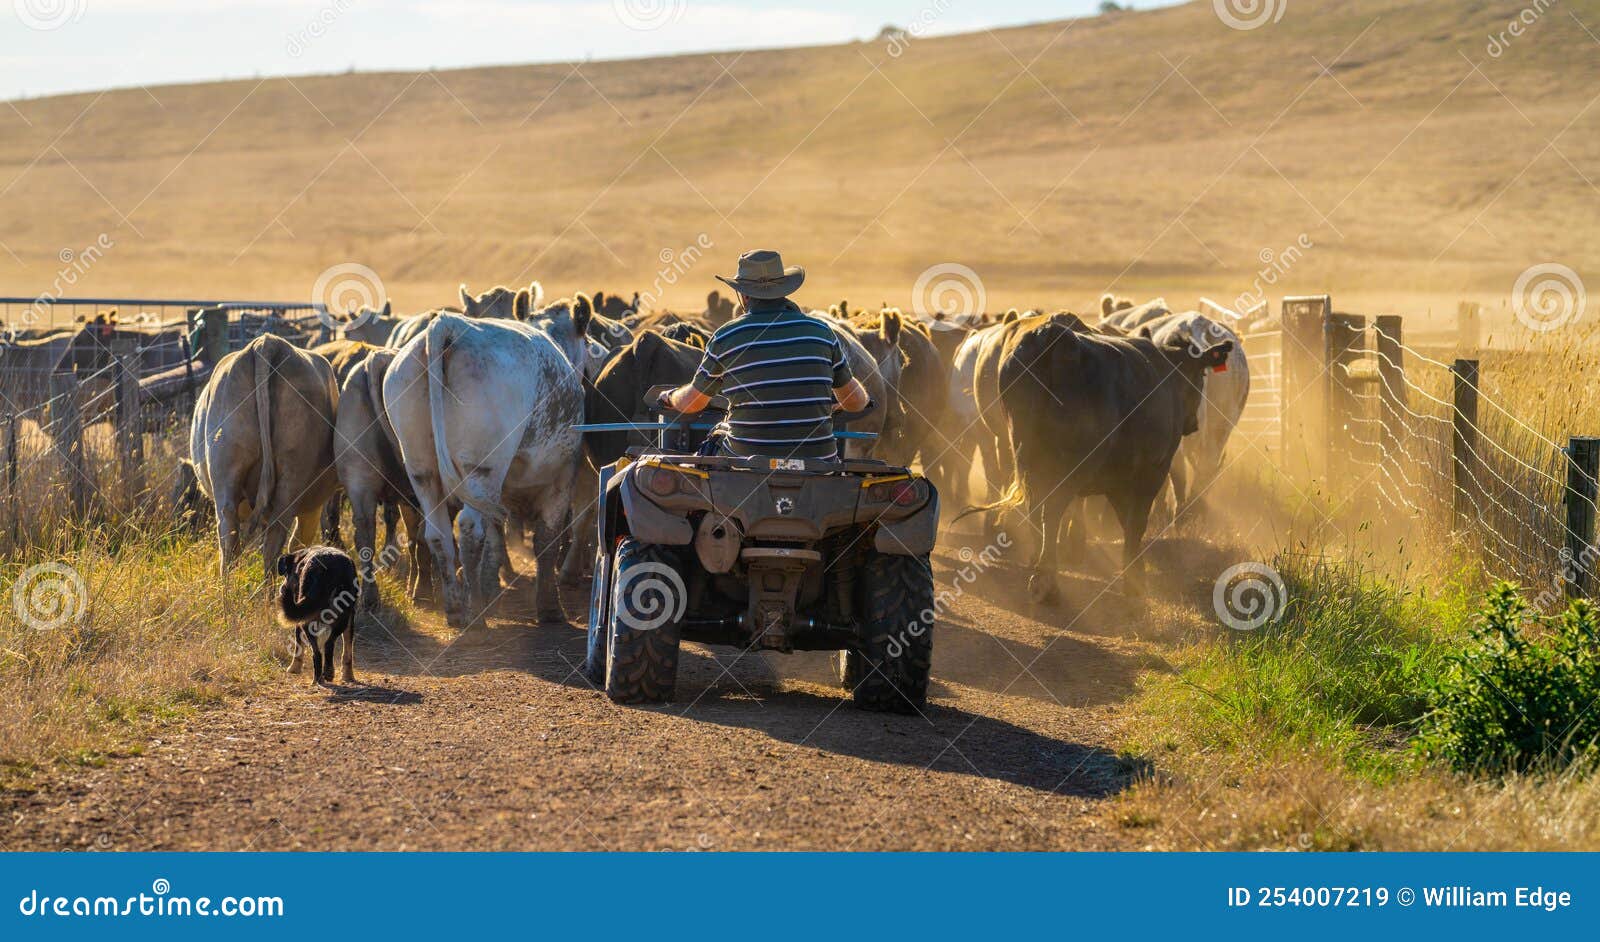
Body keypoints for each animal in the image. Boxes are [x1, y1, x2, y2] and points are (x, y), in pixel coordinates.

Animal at [187, 333, 340, 583]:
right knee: (262, 538)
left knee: (234, 538)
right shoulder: (311, 506)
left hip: (232, 475)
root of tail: (268, 343)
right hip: (284, 475)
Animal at [383, 296, 594, 629]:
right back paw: (476, 617)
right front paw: (550, 608)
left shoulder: (500, 490)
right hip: (481, 470)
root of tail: (449, 326)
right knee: (469, 530)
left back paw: (457, 609)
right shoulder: (561, 477)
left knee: (438, 534)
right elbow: (547, 539)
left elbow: (496, 539)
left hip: (423, 470)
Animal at [963, 317, 1232, 603]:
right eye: (1202, 376)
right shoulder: (1151, 471)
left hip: (1028, 457)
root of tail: (1055, 337)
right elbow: (1135, 522)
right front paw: (1134, 582)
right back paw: (1047, 582)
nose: (1193, 424)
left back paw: (1037, 566)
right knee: (1052, 510)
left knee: (1036, 509)